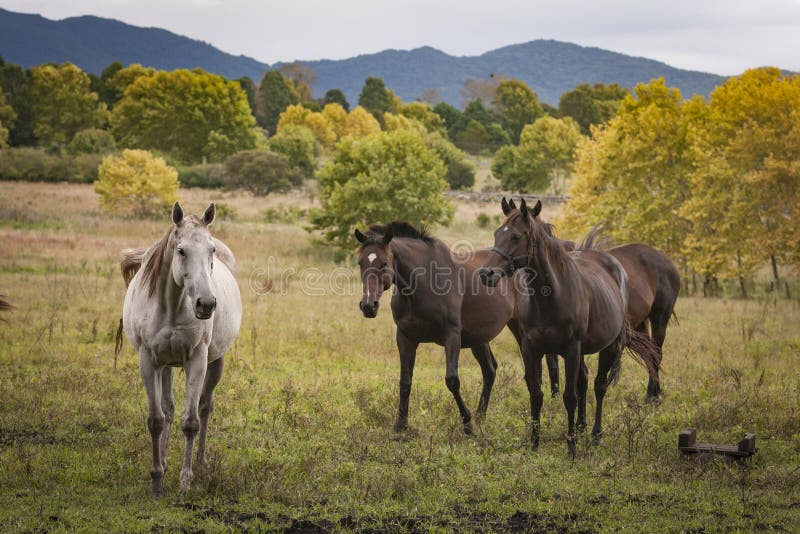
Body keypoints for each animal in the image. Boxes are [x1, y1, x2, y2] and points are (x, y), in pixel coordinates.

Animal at [115, 202, 242, 497]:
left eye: (211, 250)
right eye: (181, 250)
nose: (206, 304)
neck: (172, 306)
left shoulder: (197, 359)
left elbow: (191, 421)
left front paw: (185, 481)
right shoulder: (148, 360)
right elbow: (157, 419)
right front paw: (156, 479)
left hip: (215, 361)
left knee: (205, 407)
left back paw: (202, 462)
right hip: (165, 365)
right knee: (168, 408)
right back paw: (162, 460)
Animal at [354, 221, 525, 435]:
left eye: (384, 263)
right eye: (360, 263)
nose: (368, 306)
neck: (424, 282)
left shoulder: (451, 336)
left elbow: (452, 380)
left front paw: (467, 423)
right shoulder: (405, 338)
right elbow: (405, 381)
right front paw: (400, 426)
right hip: (479, 339)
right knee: (490, 370)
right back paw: (481, 418)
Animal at [478, 198, 659, 456]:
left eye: (515, 237)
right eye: (496, 234)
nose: (486, 273)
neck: (550, 298)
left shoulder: (571, 350)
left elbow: (569, 397)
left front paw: (571, 447)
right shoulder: (531, 350)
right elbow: (536, 394)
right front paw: (534, 443)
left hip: (610, 346)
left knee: (598, 386)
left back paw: (595, 434)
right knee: (583, 381)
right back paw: (582, 427)